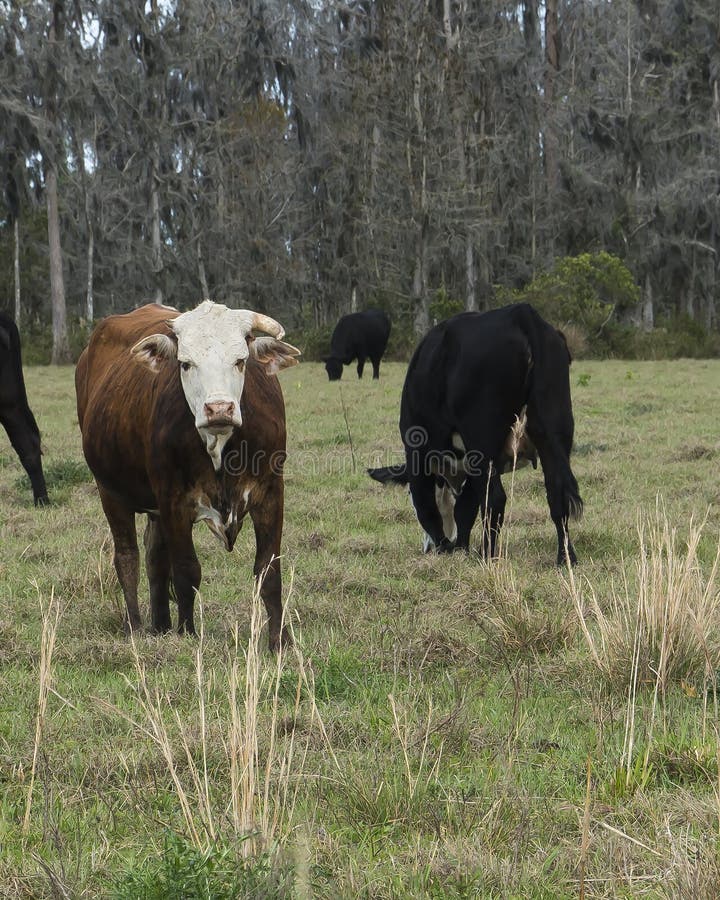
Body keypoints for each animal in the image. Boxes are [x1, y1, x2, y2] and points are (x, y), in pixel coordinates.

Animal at [75, 300, 300, 650]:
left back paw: (160, 625)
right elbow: (186, 570)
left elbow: (268, 571)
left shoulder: (270, 494)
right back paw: (136, 627)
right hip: (110, 493)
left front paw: (279, 641)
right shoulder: (174, 502)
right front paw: (188, 633)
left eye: (241, 361)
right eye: (185, 363)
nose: (219, 408)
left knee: (154, 558)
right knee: (127, 558)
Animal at [368, 303, 582, 566]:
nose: (427, 548)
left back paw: (486, 554)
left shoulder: (419, 454)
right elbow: (465, 508)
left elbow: (429, 507)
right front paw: (459, 546)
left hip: (482, 443)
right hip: (553, 432)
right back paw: (565, 557)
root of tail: (519, 312)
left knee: (495, 499)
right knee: (556, 494)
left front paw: (446, 546)